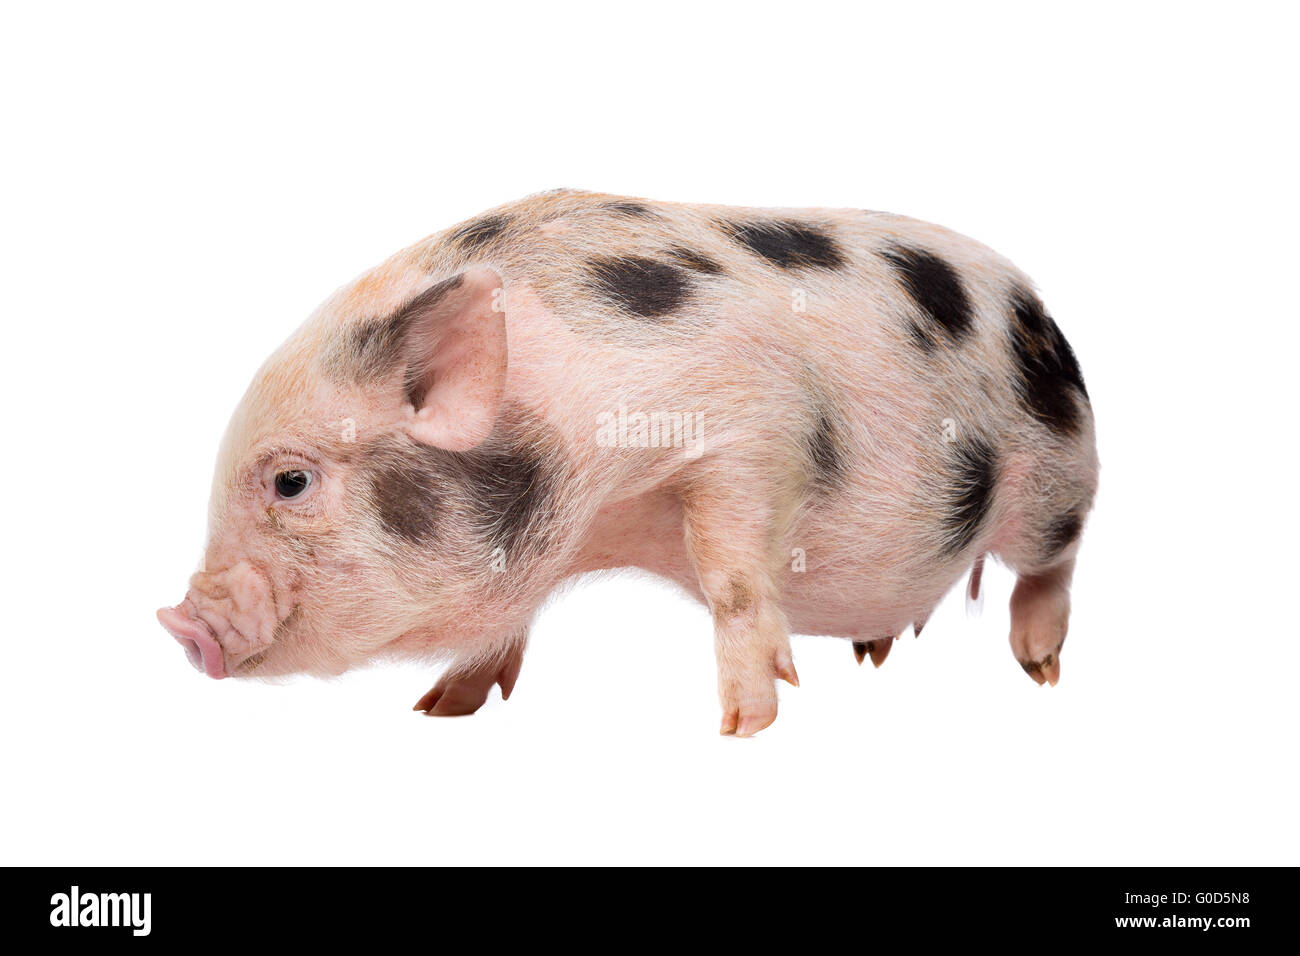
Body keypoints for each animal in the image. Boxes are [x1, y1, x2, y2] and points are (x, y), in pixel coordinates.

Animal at [158, 189, 1097, 736]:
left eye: (291, 482)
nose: (180, 624)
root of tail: (1044, 311)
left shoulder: (752, 432)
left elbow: (732, 575)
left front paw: (744, 724)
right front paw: (440, 710)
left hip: (1058, 476)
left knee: (1052, 562)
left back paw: (1042, 671)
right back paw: (874, 648)